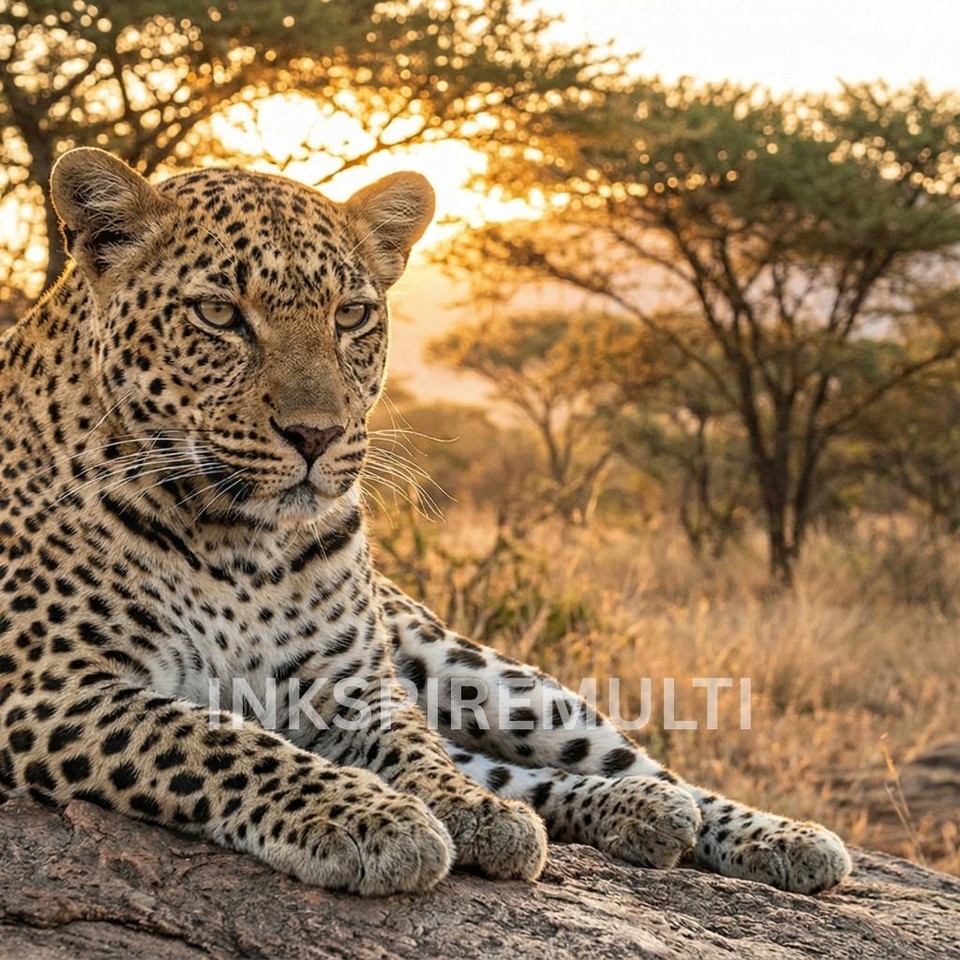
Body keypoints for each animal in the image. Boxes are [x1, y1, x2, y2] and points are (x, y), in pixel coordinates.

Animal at [0, 147, 852, 896]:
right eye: (218, 314)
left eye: (351, 316)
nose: (315, 436)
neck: (239, 542)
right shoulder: (53, 689)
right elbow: (222, 742)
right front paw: (374, 820)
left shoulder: (354, 685)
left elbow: (416, 751)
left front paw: (453, 810)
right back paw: (623, 817)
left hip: (475, 667)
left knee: (604, 757)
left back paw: (762, 834)